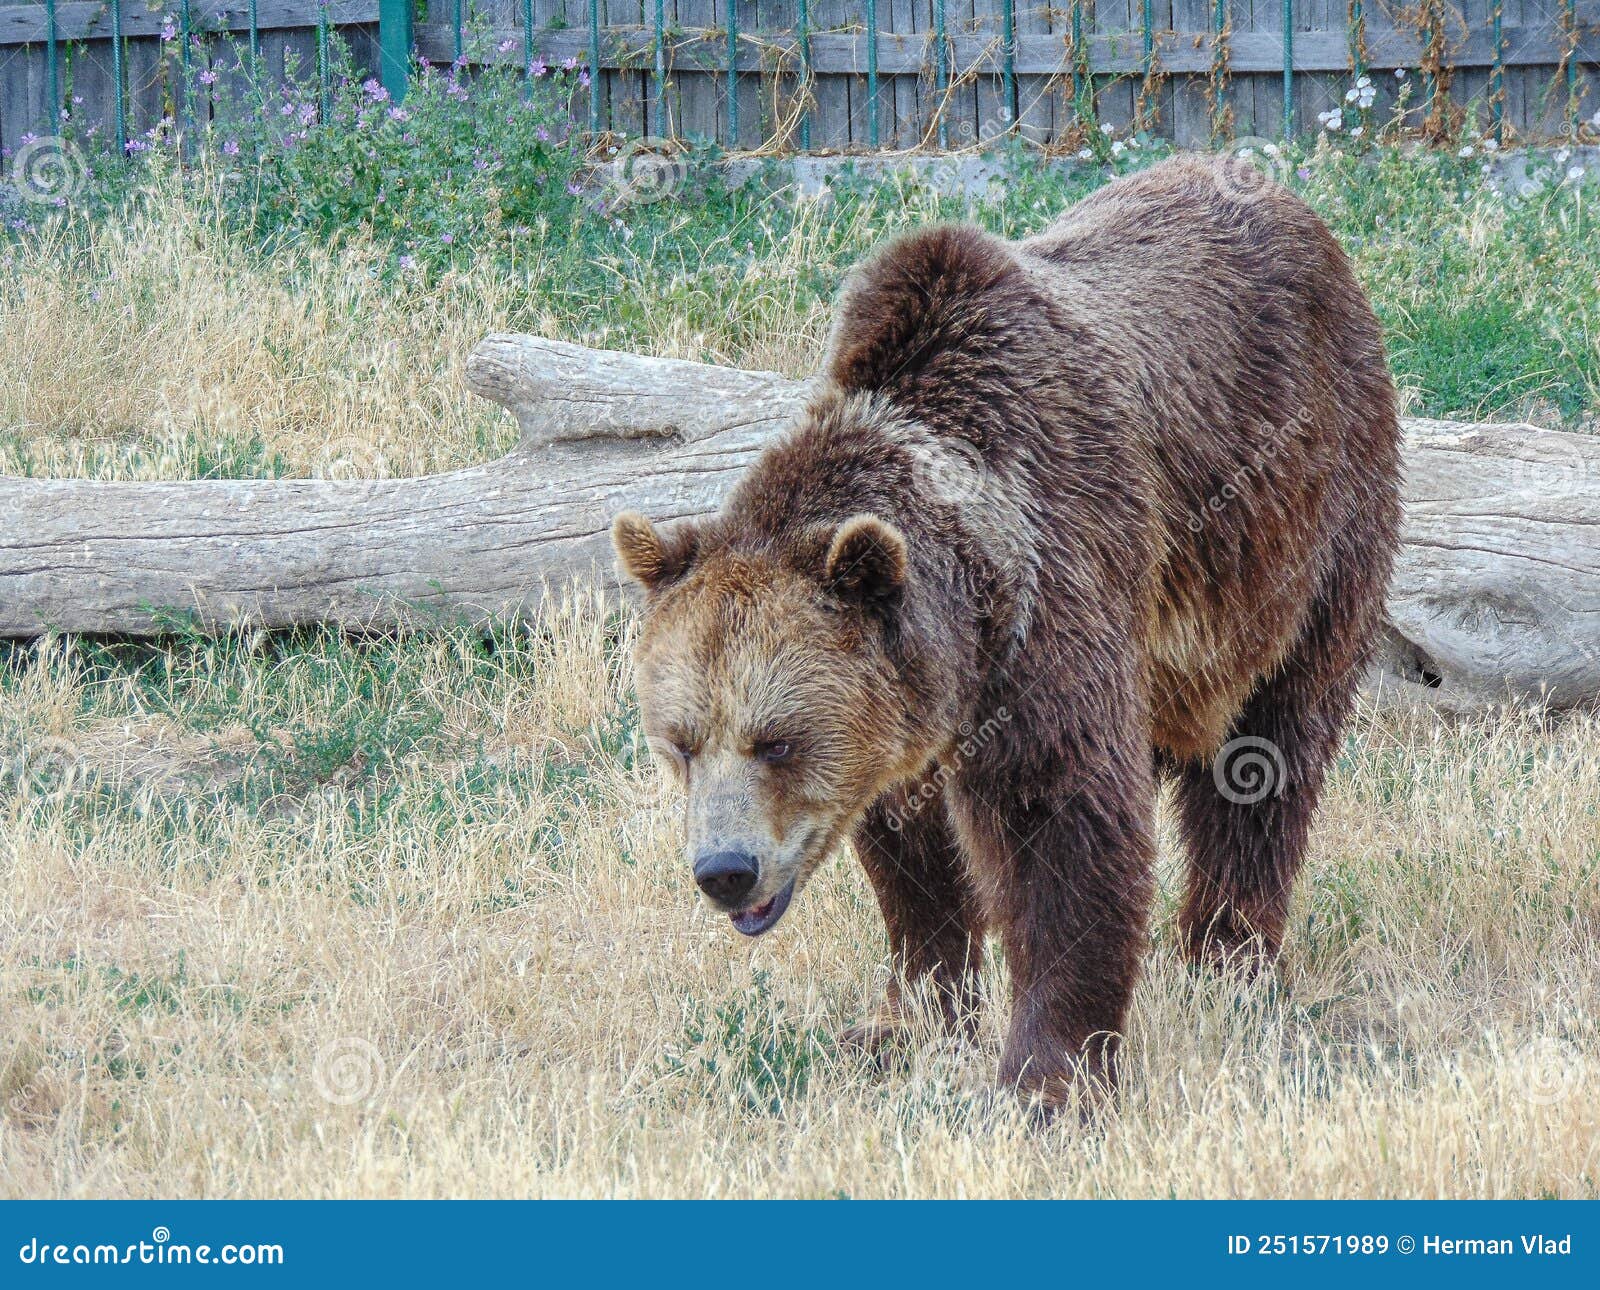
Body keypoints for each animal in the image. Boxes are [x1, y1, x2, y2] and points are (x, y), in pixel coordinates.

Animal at [611, 156, 1402, 1107]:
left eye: (777, 741)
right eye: (680, 743)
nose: (725, 872)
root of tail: (1284, 199)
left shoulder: (1056, 588)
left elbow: (1057, 827)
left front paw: (1048, 1078)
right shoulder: (904, 717)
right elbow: (913, 858)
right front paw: (903, 1022)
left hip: (1311, 524)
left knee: (1268, 757)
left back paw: (1231, 958)